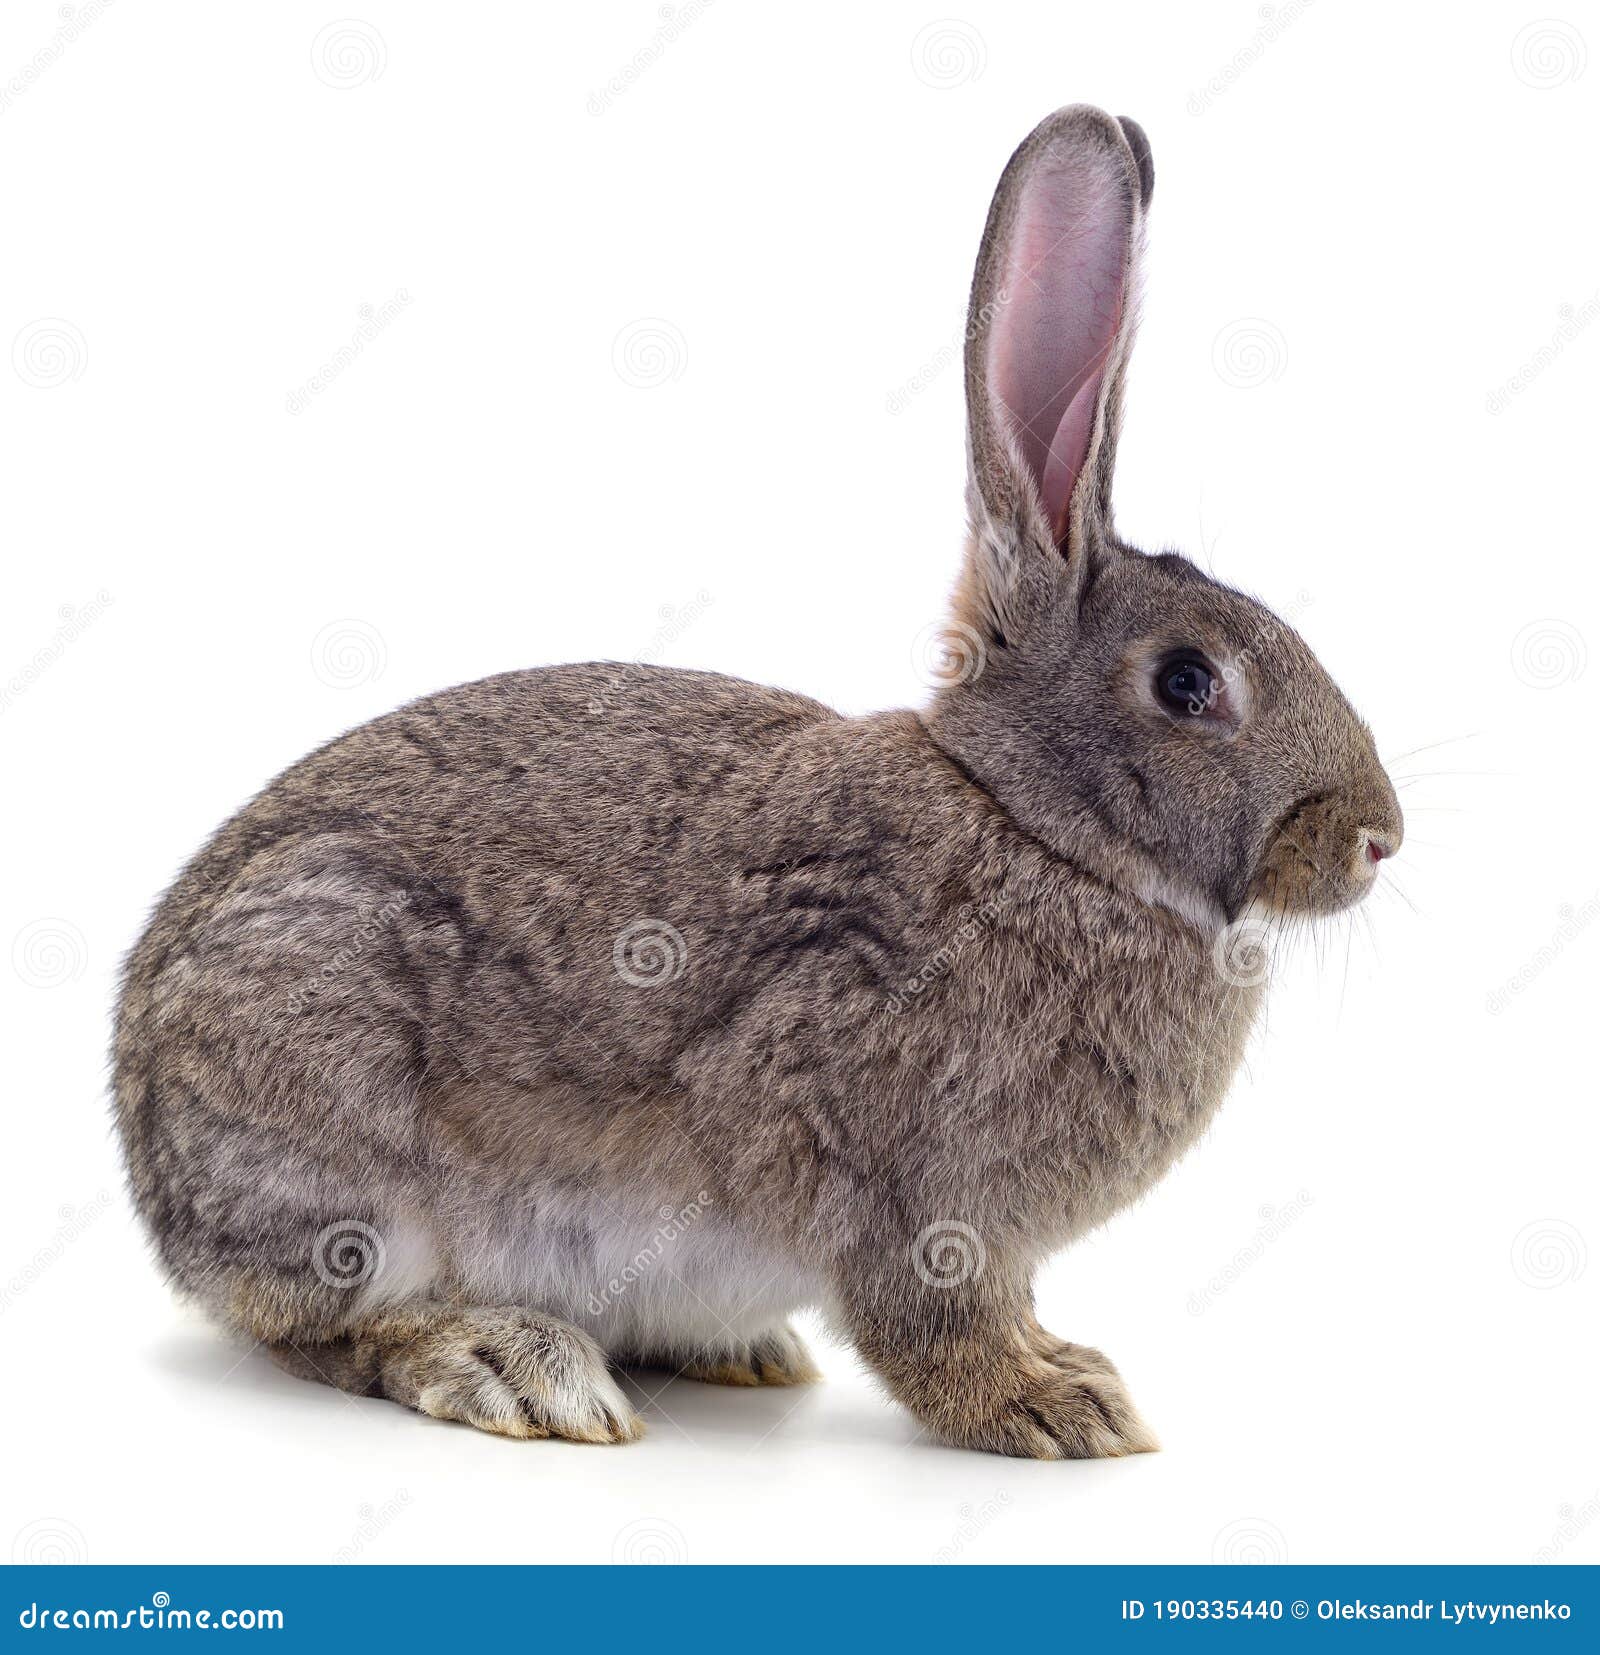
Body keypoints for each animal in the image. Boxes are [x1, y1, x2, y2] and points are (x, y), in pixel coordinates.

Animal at [112, 105, 1401, 1459]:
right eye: (1189, 682)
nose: (1378, 837)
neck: (1035, 828)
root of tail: (146, 1153)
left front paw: (1057, 1370)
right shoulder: (894, 1176)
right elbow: (929, 1316)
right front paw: (1054, 1404)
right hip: (334, 1107)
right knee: (320, 1324)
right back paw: (512, 1362)